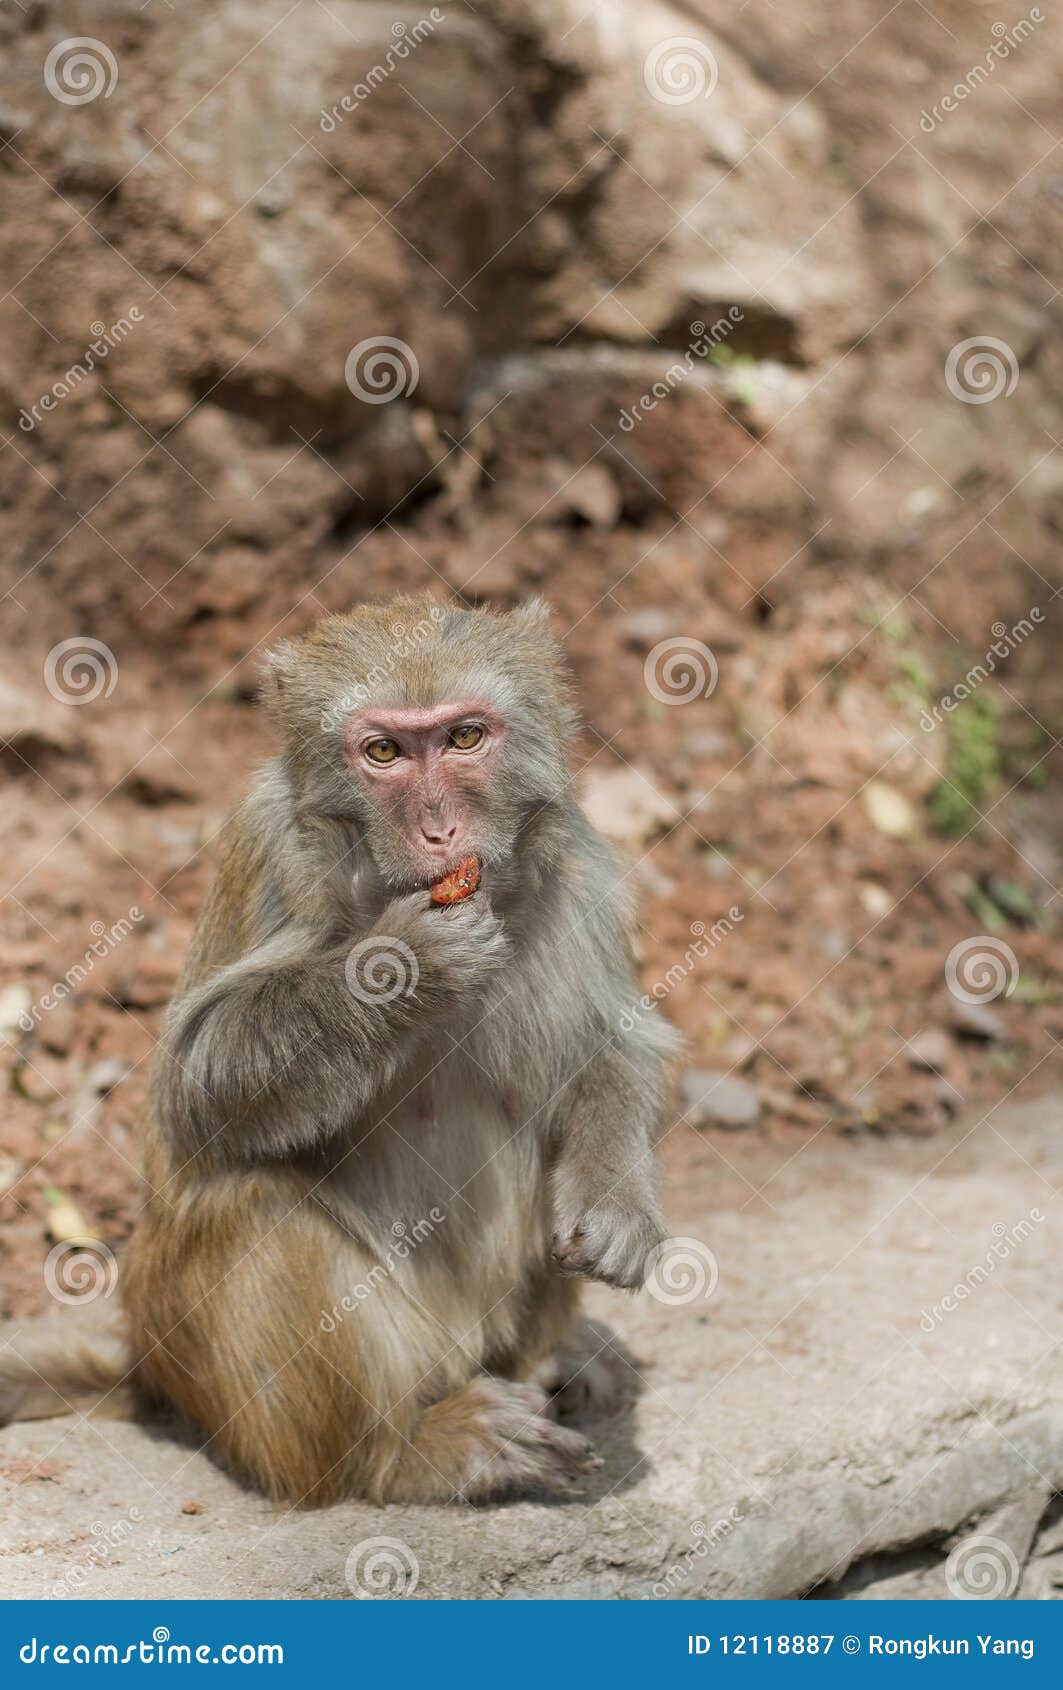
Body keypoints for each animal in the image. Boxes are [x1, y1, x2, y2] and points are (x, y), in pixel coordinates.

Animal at [0, 596, 677, 1506]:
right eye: (383, 752)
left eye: (465, 737)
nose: (440, 831)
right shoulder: (269, 847)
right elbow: (192, 1080)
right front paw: (404, 966)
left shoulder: (580, 866)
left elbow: (609, 1047)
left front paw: (613, 1204)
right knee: (250, 1203)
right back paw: (410, 1454)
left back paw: (551, 1365)